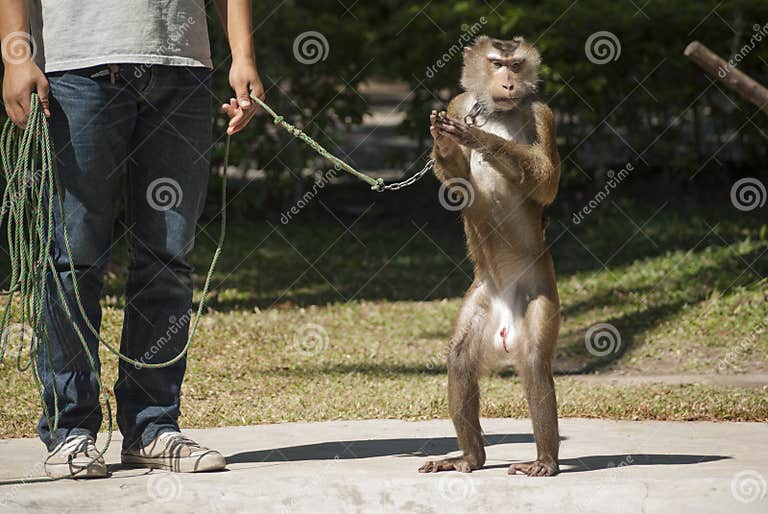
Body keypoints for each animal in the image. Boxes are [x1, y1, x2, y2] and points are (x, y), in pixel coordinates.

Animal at [418, 36, 561, 477]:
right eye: (497, 63)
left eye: (516, 65)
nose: (509, 83)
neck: (498, 112)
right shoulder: (459, 102)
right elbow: (456, 181)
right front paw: (446, 143)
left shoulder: (542, 113)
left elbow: (547, 181)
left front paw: (479, 139)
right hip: (483, 298)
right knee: (460, 361)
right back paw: (470, 457)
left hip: (540, 293)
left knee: (533, 363)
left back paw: (545, 460)